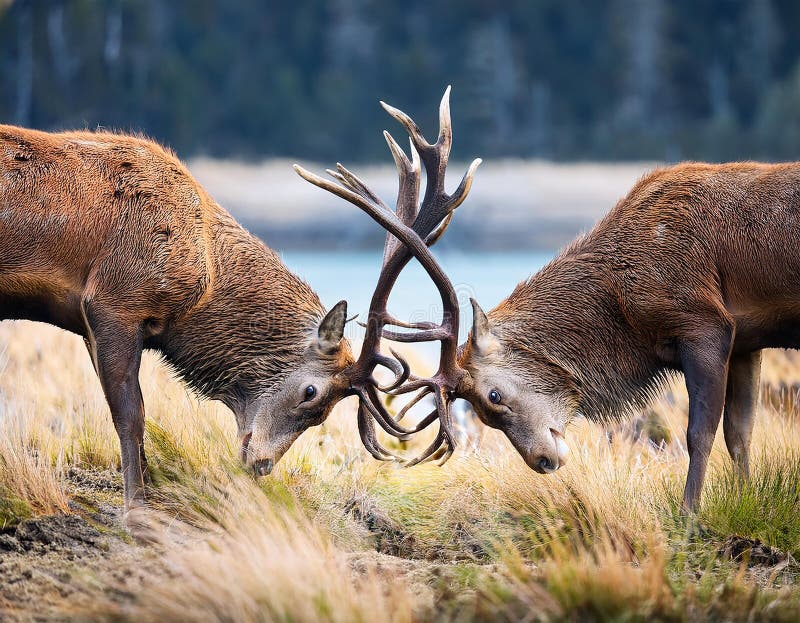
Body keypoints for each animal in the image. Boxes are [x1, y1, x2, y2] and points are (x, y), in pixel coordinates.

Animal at [0, 112, 479, 532]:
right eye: (311, 394)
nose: (261, 465)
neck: (203, 277)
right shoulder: (115, 303)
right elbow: (131, 416)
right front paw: (138, 510)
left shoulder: (90, 326)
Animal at [299, 105, 800, 512]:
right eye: (483, 413)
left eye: (493, 396)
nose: (542, 461)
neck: (624, 307)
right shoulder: (747, 339)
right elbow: (741, 433)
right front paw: (743, 501)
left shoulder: (704, 324)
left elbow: (699, 434)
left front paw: (689, 515)